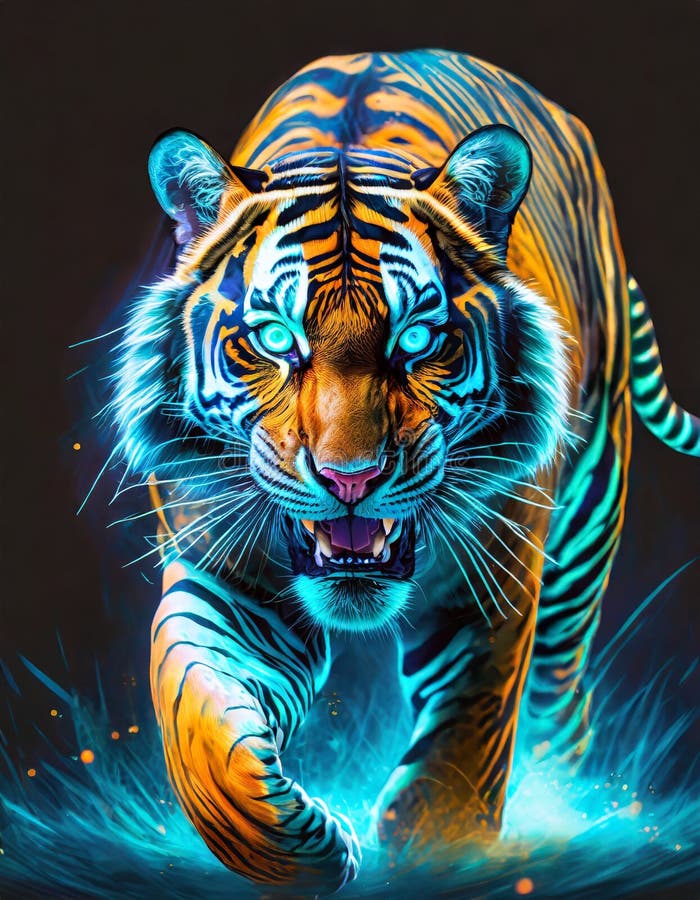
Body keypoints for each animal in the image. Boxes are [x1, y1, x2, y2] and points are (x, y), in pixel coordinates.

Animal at [108, 50, 700, 893]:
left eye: (417, 339)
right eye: (275, 338)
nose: (350, 478)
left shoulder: (489, 582)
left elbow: (457, 762)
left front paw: (440, 857)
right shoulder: (231, 579)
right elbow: (197, 713)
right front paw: (305, 843)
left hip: (584, 535)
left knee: (560, 706)